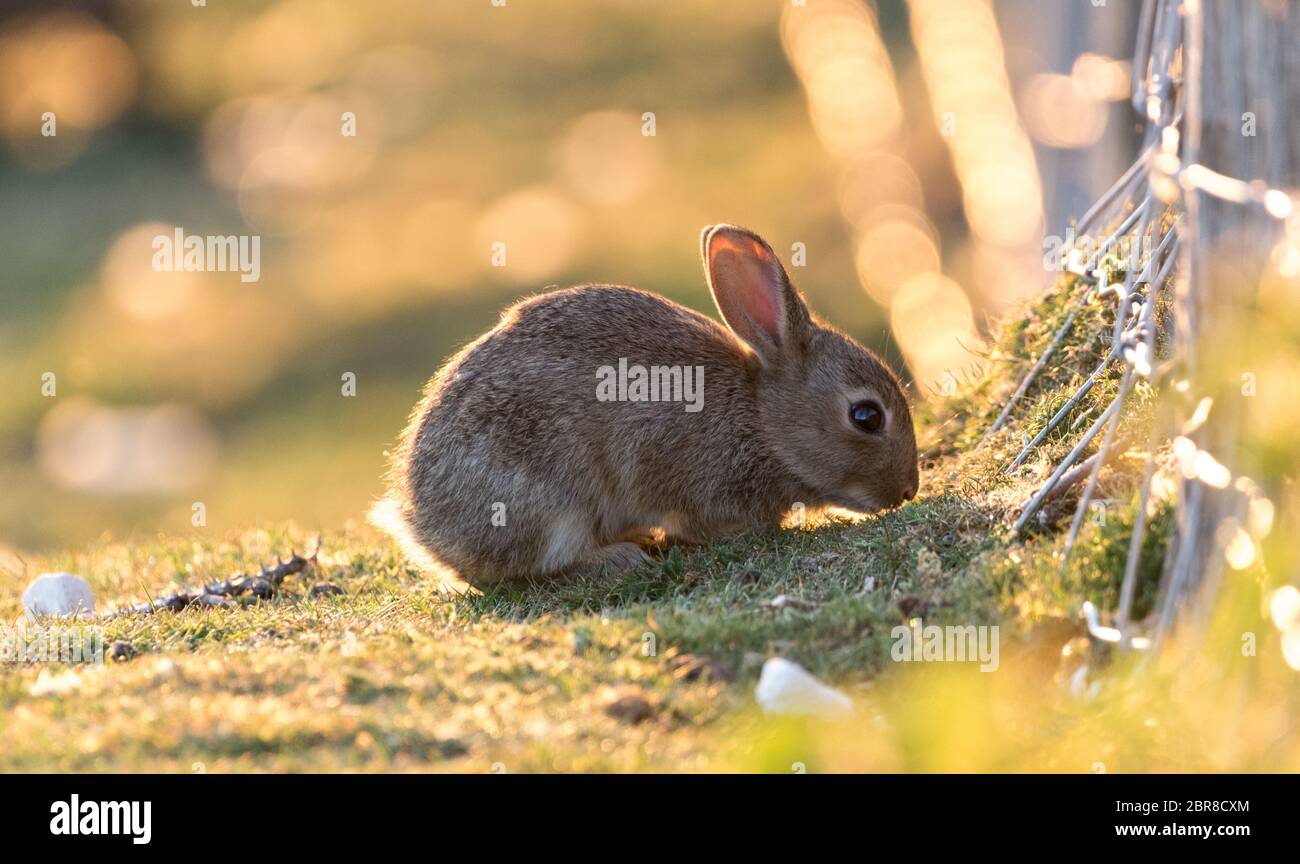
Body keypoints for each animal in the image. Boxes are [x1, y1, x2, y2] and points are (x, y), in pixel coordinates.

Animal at [374, 224, 919, 587]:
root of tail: (425, 525)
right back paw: (619, 556)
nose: (909, 490)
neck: (761, 421)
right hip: (544, 494)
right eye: (866, 416)